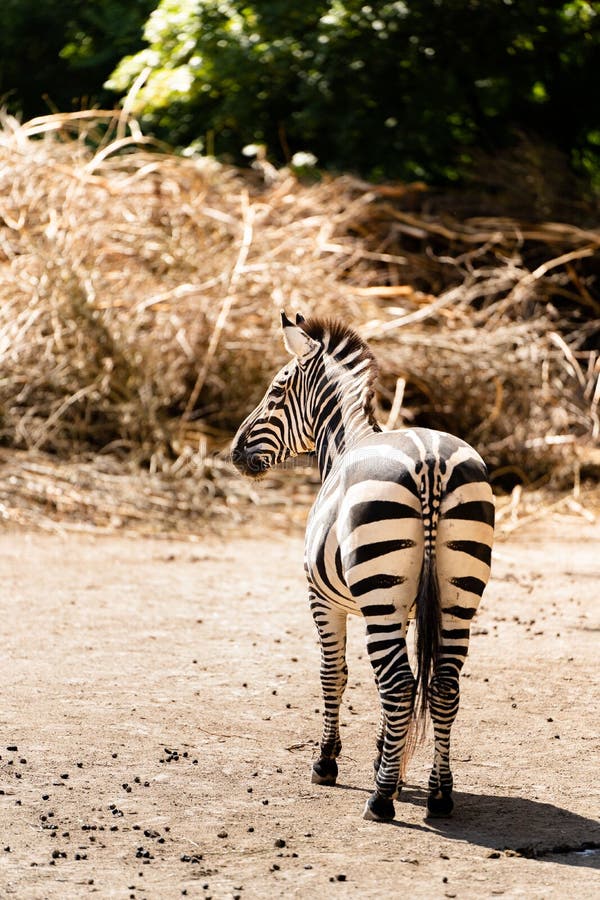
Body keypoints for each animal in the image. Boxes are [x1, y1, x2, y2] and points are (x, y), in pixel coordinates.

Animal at [231, 312, 494, 822]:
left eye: (275, 390)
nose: (235, 453)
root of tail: (430, 460)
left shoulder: (321, 600)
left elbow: (334, 674)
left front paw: (327, 762)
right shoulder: (409, 608)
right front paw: (380, 755)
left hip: (379, 594)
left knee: (398, 684)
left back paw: (381, 799)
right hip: (455, 594)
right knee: (442, 684)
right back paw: (439, 794)